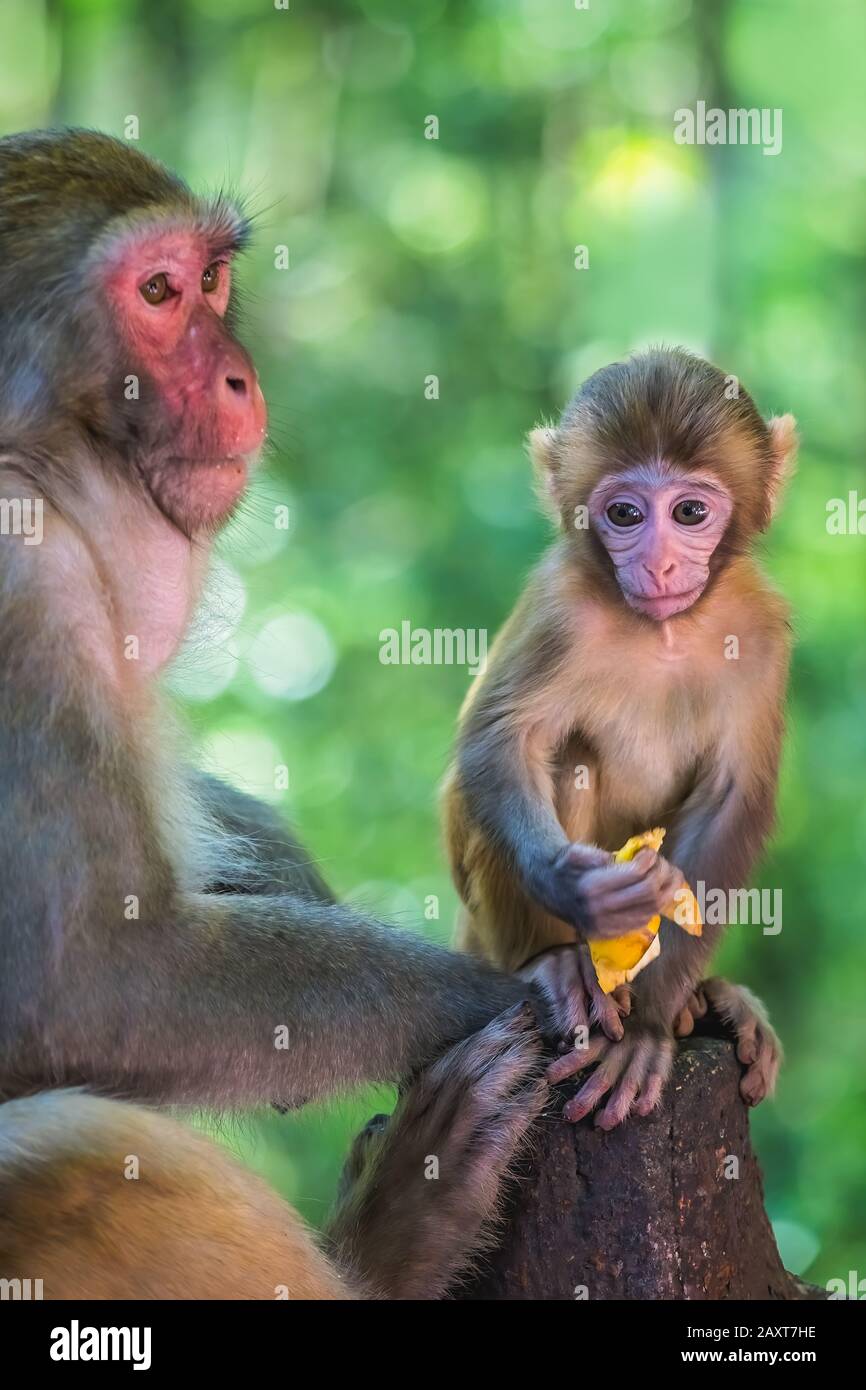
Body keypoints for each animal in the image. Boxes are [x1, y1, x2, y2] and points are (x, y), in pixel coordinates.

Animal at [0, 128, 549, 1298]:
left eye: (211, 280)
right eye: (157, 293)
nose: (241, 377)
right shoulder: (17, 578)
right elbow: (86, 984)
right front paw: (498, 996)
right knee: (66, 1141)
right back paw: (395, 1240)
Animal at [443, 348, 792, 1130]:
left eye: (690, 512)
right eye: (625, 514)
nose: (659, 564)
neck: (665, 629)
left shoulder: (761, 630)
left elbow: (730, 800)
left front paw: (649, 1028)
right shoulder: (559, 603)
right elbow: (499, 741)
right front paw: (575, 886)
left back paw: (703, 1000)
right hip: (487, 927)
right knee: (564, 756)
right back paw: (557, 964)